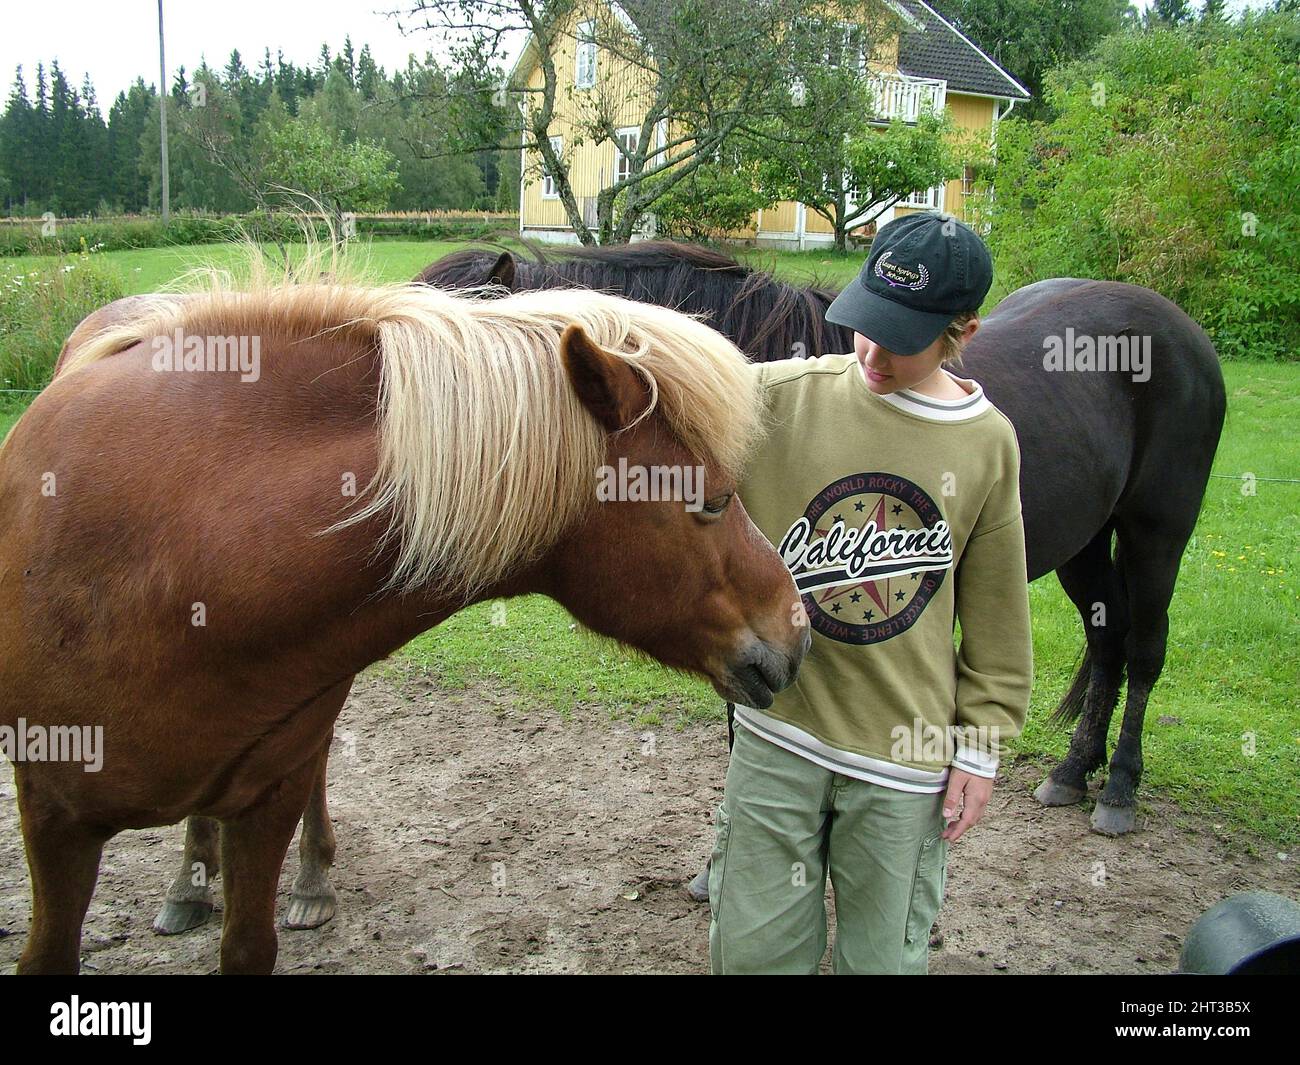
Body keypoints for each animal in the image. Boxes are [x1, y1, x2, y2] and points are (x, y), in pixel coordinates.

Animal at [0, 270, 810, 973]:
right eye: (711, 499)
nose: (796, 629)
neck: (170, 554)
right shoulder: (51, 813)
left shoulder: (264, 801)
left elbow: (249, 941)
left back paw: (309, 885)